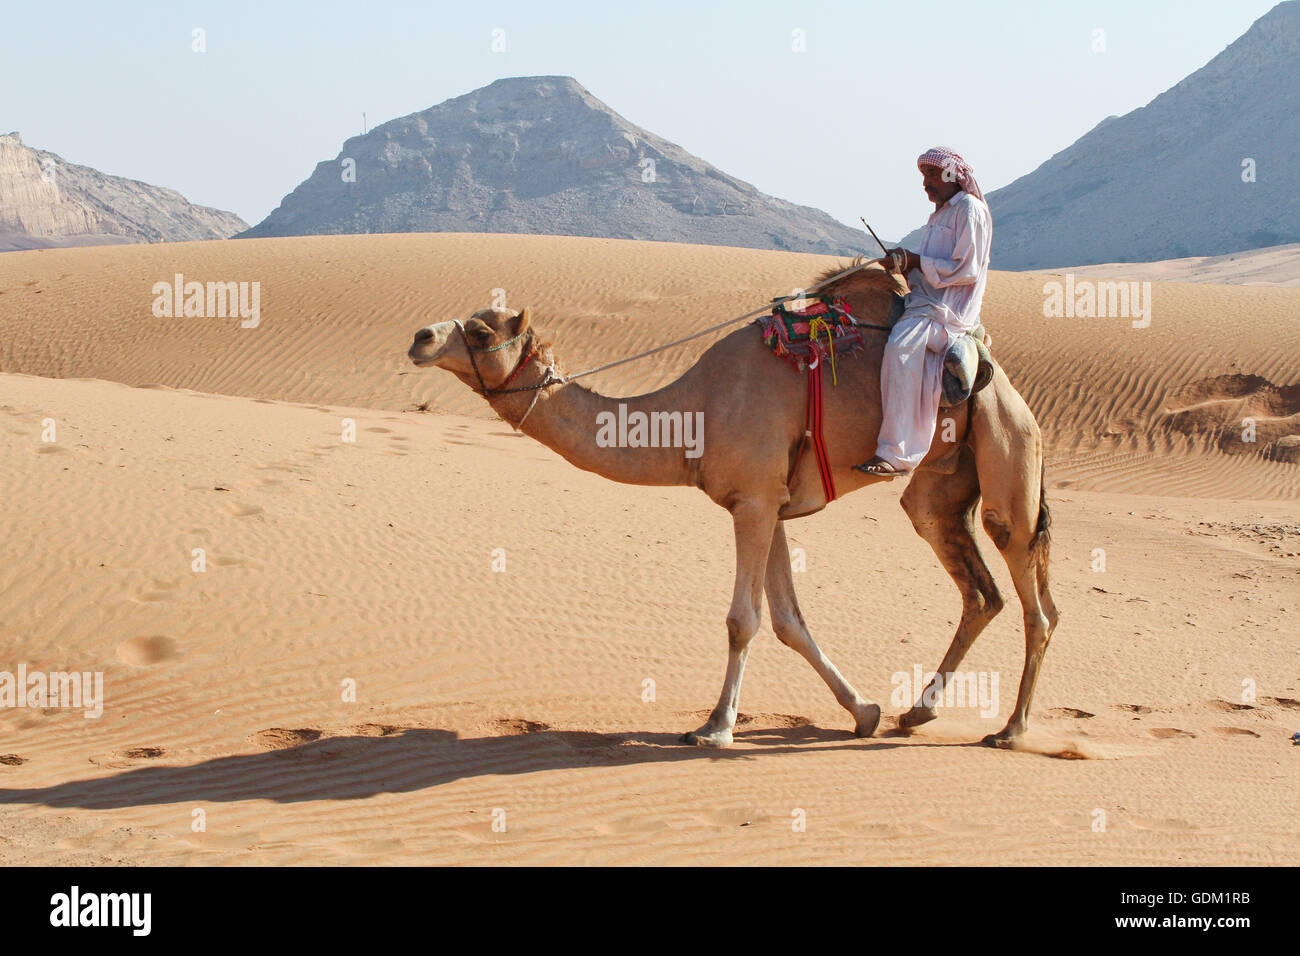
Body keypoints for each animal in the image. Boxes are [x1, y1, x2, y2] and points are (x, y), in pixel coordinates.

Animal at [407, 259, 1058, 748]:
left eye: (482, 332)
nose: (420, 337)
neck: (693, 414)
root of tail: (1006, 384)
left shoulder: (755, 503)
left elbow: (743, 619)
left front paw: (715, 727)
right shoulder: (768, 503)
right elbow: (790, 621)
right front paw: (864, 711)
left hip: (1007, 449)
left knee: (1033, 592)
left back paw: (1012, 729)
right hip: (939, 488)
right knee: (981, 590)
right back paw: (917, 712)